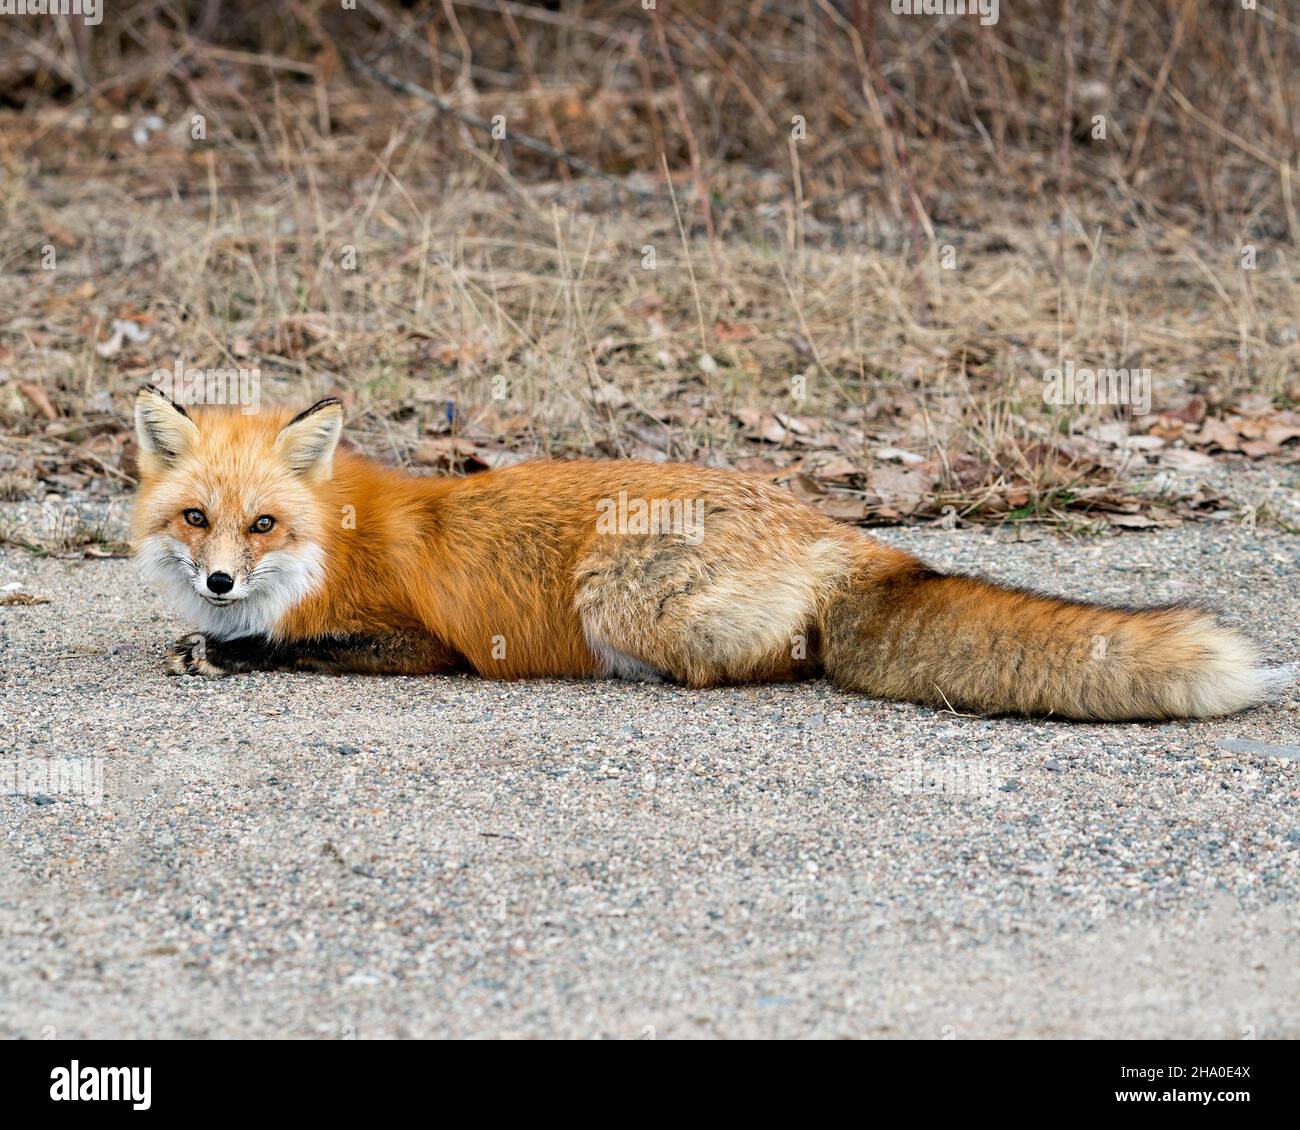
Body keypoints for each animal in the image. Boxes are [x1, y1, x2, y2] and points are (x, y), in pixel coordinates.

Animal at [129, 386, 1292, 721]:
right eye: (196, 519)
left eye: (262, 524)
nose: (220, 579)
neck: (327, 547)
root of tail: (837, 529)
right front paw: (204, 637)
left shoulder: (419, 644)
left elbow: (285, 650)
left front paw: (226, 651)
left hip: (618, 596)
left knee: (774, 660)